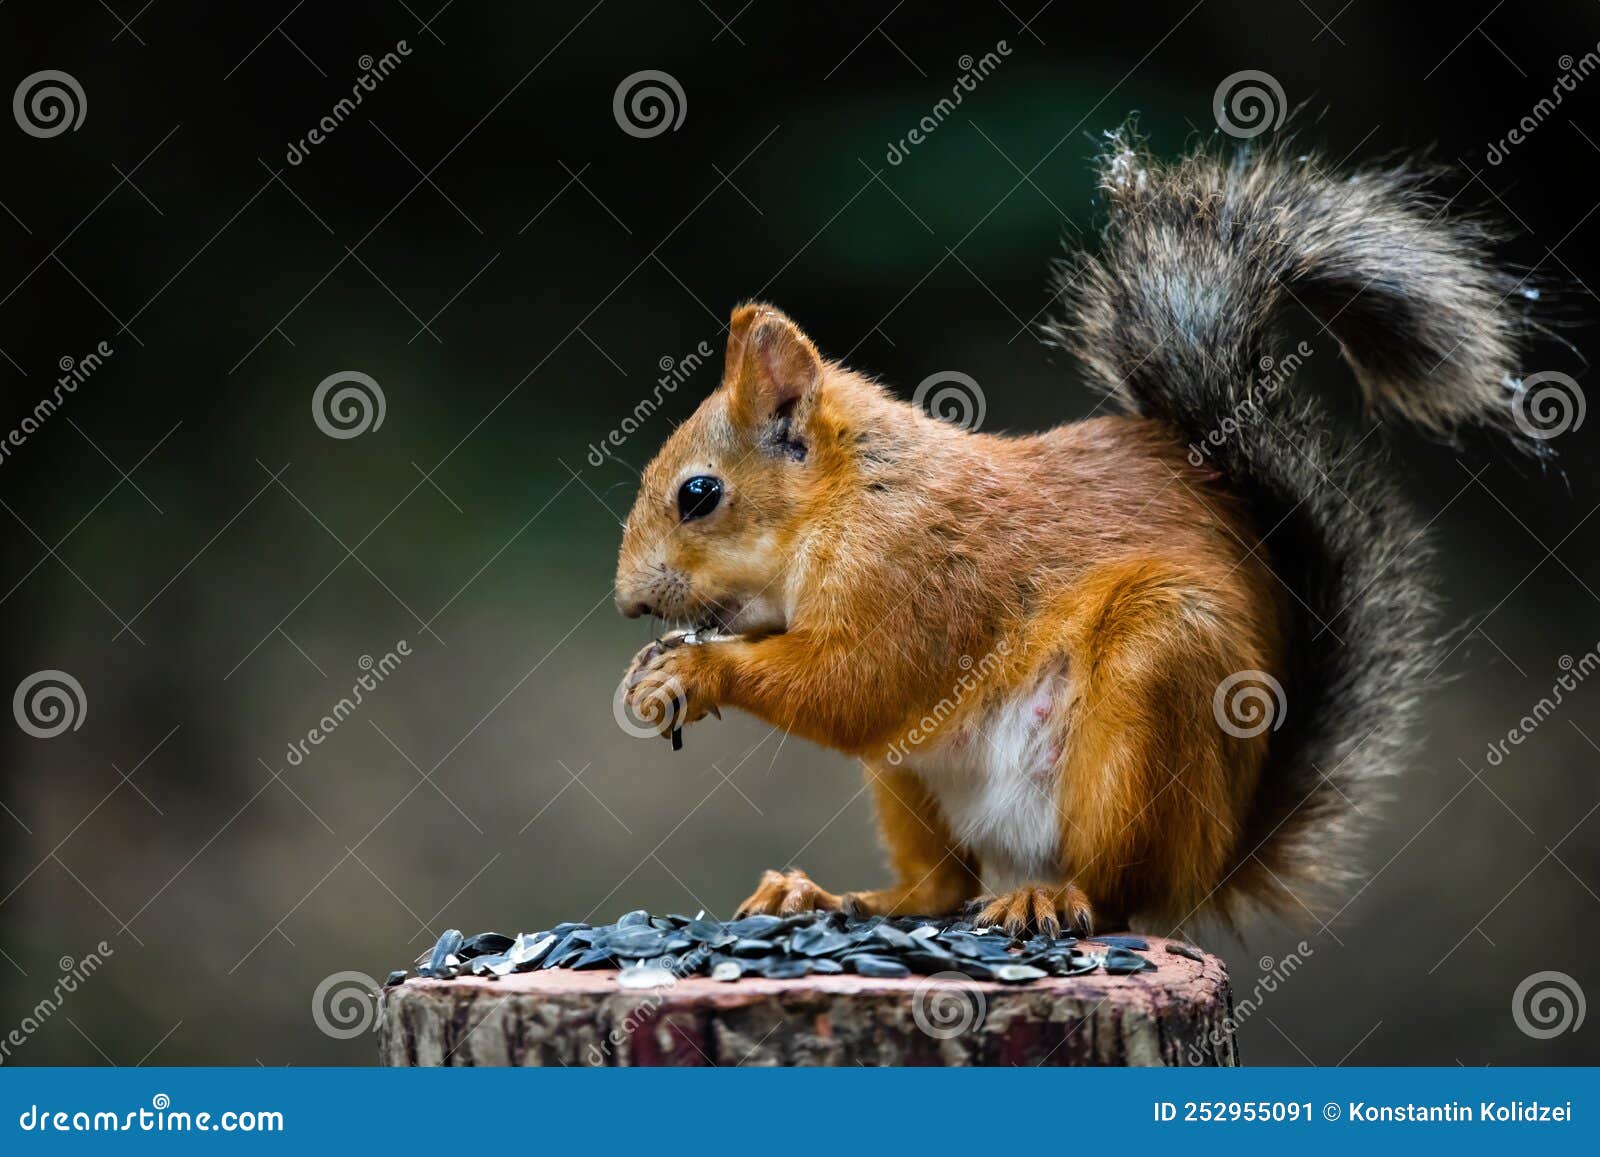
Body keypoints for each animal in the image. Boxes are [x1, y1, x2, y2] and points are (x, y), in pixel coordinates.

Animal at [614, 134, 1539, 936]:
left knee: (1117, 892)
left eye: (700, 494)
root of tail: (1218, 858)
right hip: (909, 779)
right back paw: (828, 896)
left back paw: (1049, 899)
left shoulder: (917, 575)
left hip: (1152, 687)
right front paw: (651, 672)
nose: (627, 603)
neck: (848, 499)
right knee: (940, 886)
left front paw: (694, 670)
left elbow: (858, 684)